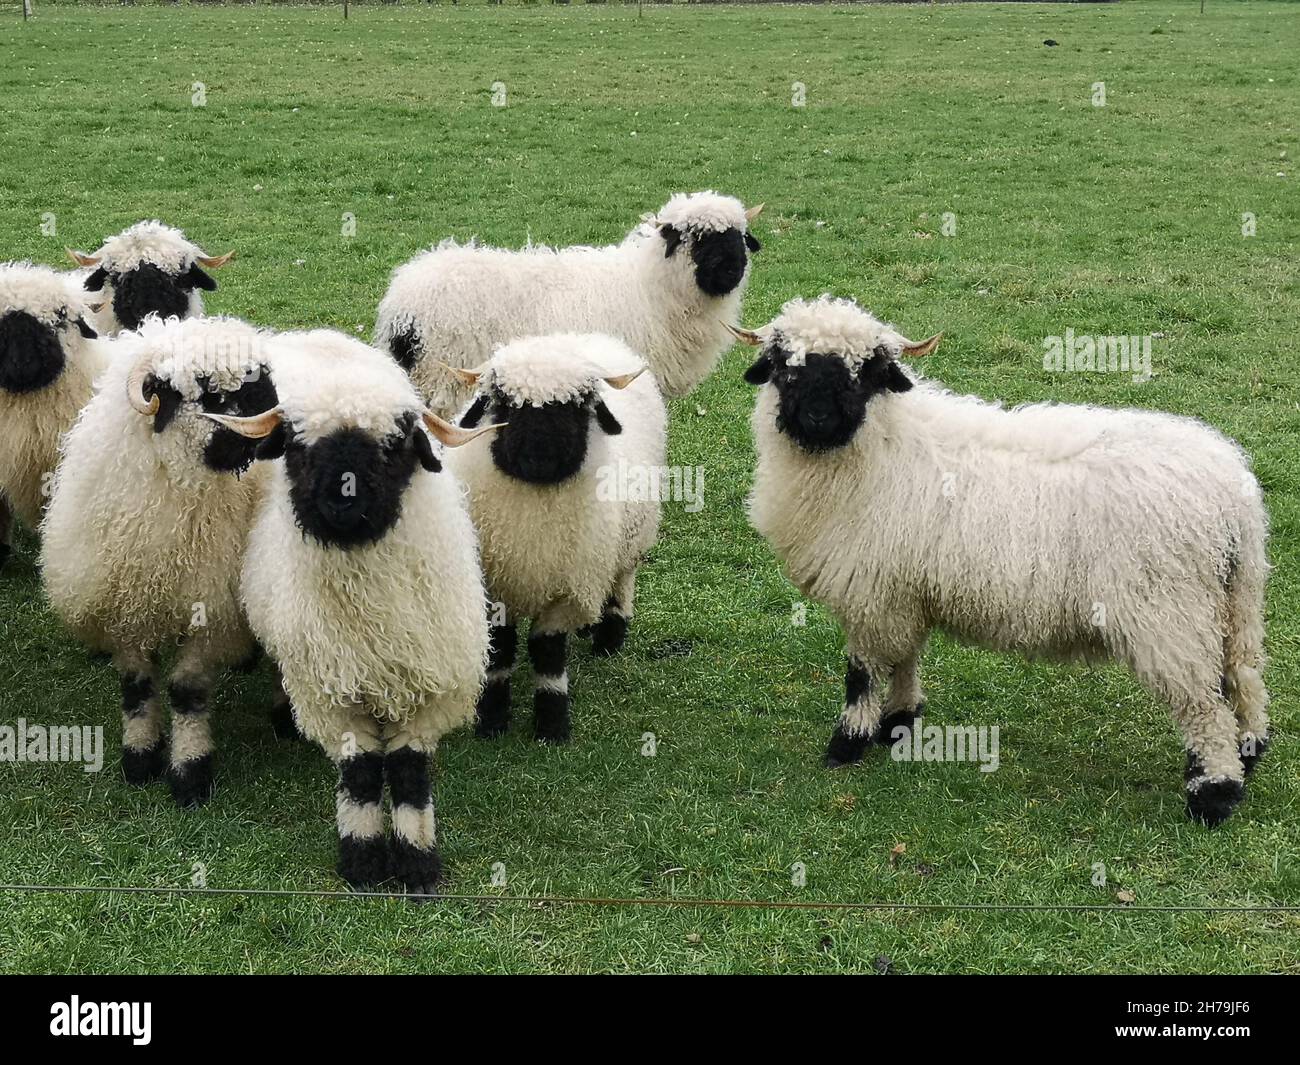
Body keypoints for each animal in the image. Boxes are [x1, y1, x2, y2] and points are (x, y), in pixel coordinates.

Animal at [40, 314, 278, 806]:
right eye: (211, 393)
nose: (275, 428)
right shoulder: (123, 607)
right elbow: (136, 686)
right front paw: (140, 755)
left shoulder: (211, 612)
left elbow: (186, 690)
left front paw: (190, 771)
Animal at [206, 329, 499, 895]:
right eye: (296, 446)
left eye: (394, 446)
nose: (341, 500)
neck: (370, 612)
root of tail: (312, 336)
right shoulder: (334, 693)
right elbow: (361, 775)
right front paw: (362, 863)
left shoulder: (429, 690)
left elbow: (409, 775)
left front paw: (418, 866)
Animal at [374, 191, 762, 416]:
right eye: (696, 237)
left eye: (740, 237)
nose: (733, 268)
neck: (649, 287)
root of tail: (401, 302)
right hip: (445, 375)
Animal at [442, 333, 667, 744]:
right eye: (505, 404)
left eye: (578, 405)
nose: (540, 458)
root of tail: (586, 337)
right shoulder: (494, 586)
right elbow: (500, 652)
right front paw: (492, 720)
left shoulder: (565, 591)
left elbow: (547, 654)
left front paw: (552, 725)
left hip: (629, 540)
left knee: (622, 581)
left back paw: (609, 637)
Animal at [736, 295, 1269, 827]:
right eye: (785, 368)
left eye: (865, 371)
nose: (818, 417)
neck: (880, 449)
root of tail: (1233, 496)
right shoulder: (903, 591)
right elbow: (906, 658)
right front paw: (900, 722)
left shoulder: (873, 593)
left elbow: (861, 675)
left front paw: (847, 743)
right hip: (1234, 603)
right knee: (1243, 680)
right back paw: (1248, 752)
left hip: (1169, 613)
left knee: (1204, 706)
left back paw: (1214, 794)